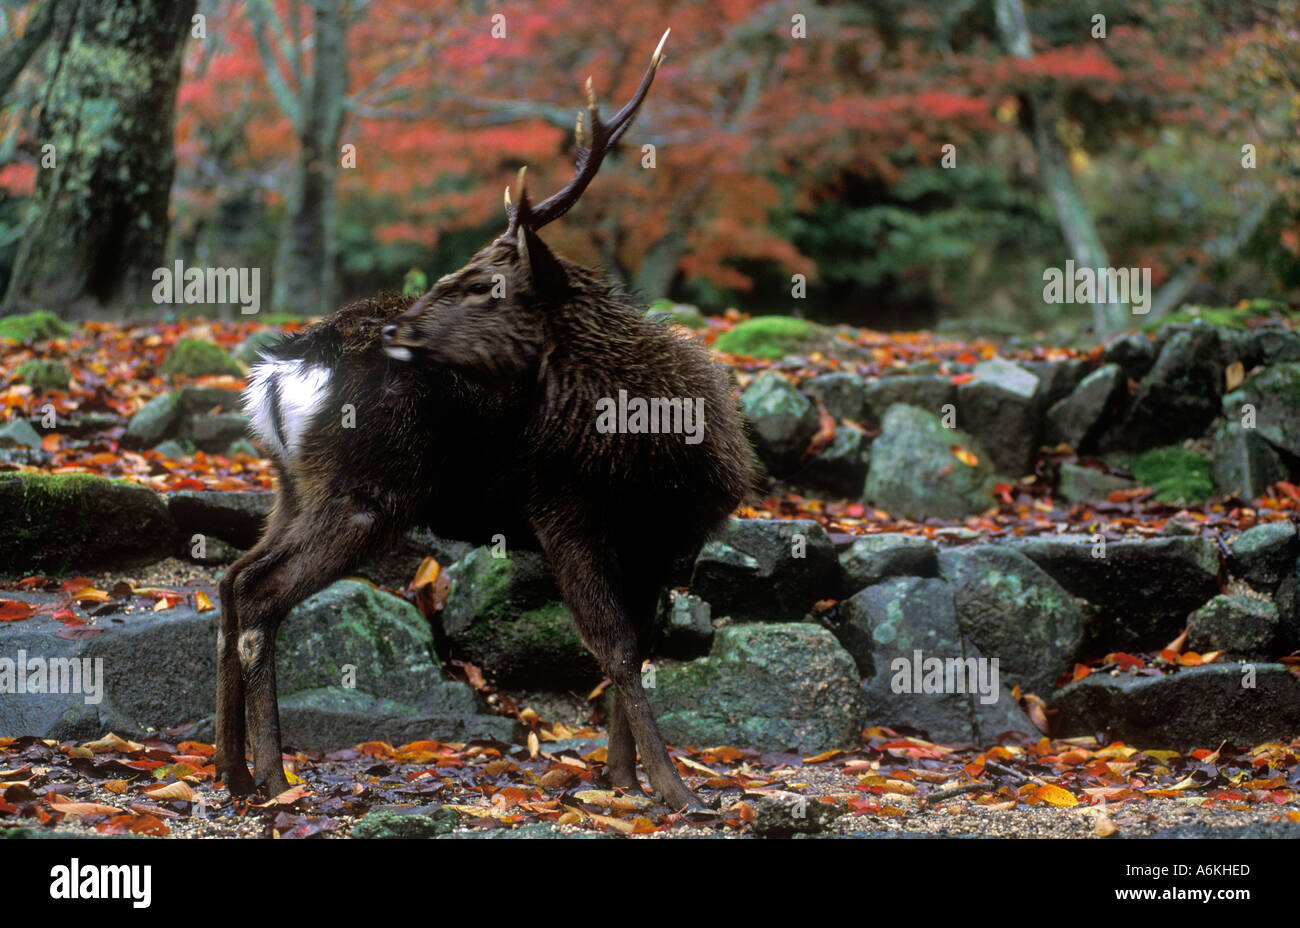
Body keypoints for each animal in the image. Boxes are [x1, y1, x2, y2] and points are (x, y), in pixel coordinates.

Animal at [217, 30, 757, 811]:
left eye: (484, 284)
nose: (399, 330)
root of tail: (276, 375)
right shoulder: (563, 510)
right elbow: (616, 647)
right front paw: (674, 788)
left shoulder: (659, 544)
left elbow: (636, 647)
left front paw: (622, 780)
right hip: (366, 494)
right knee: (260, 595)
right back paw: (274, 776)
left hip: (294, 489)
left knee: (232, 579)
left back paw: (231, 770)